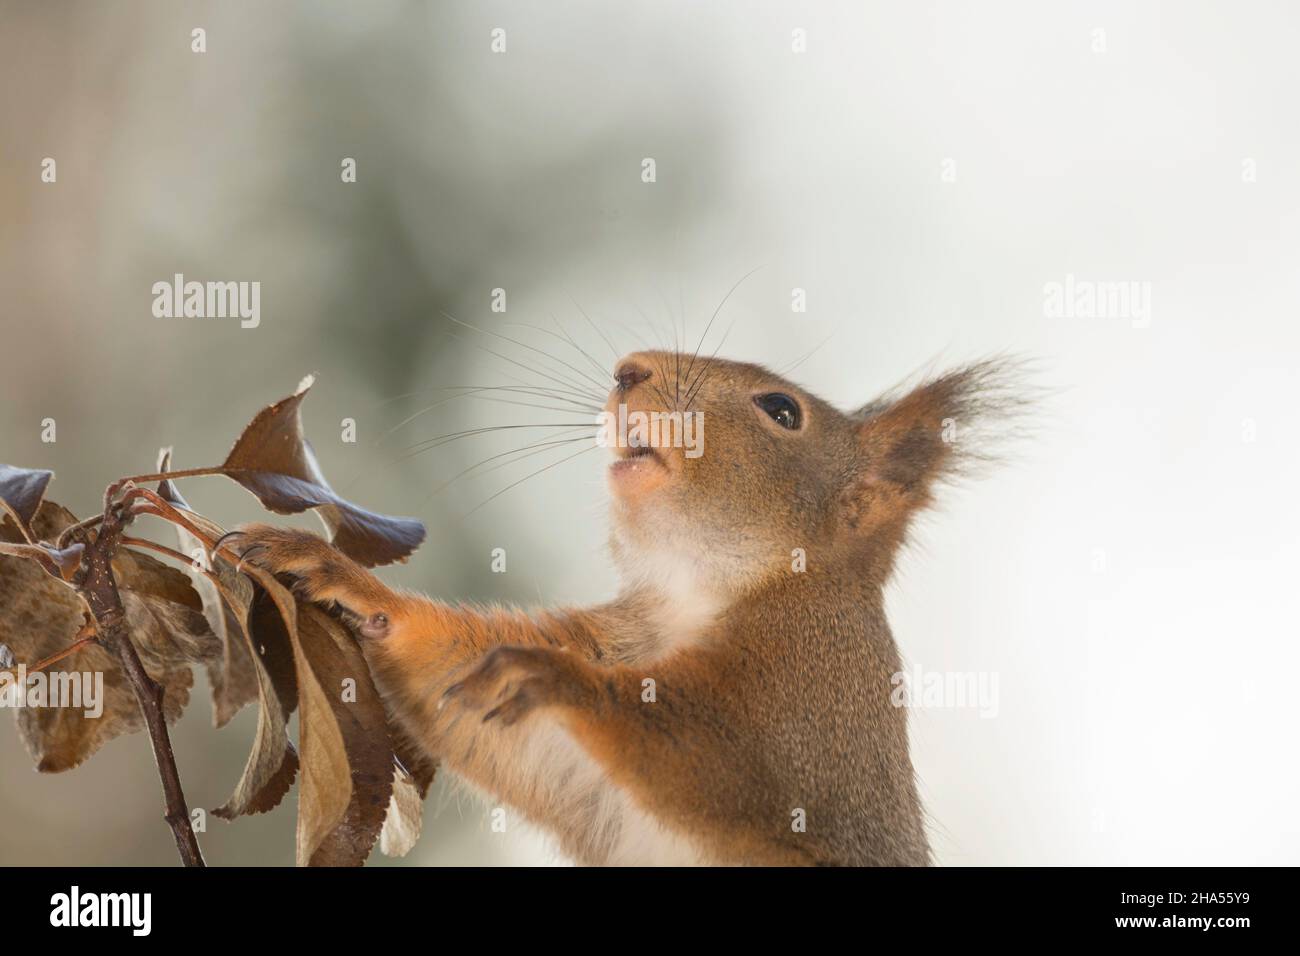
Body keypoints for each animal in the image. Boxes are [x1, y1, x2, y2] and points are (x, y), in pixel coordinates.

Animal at [227, 350, 1020, 866]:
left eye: (781, 410)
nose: (628, 370)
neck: (699, 589)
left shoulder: (808, 692)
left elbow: (717, 764)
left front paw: (560, 679)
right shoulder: (614, 644)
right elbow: (461, 680)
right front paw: (341, 576)